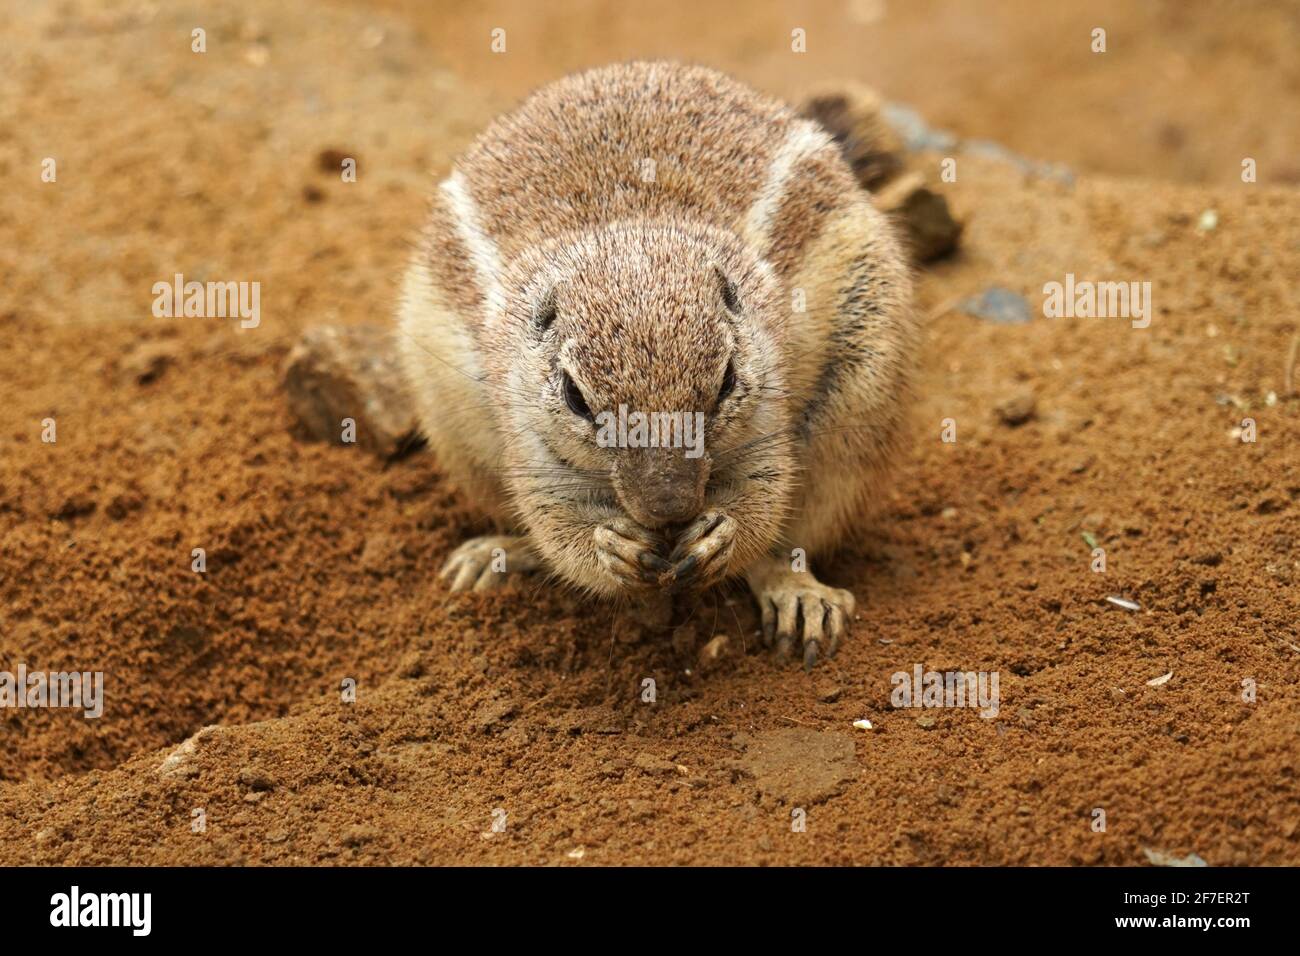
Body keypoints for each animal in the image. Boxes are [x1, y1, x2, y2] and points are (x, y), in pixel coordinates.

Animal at [398, 61, 916, 668]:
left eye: (725, 381)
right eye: (576, 398)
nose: (669, 508)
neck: (632, 237)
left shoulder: (767, 405)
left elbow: (764, 496)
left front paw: (724, 535)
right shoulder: (526, 428)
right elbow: (554, 520)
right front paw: (609, 546)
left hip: (859, 396)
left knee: (792, 538)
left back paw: (798, 594)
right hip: (456, 434)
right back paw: (496, 554)